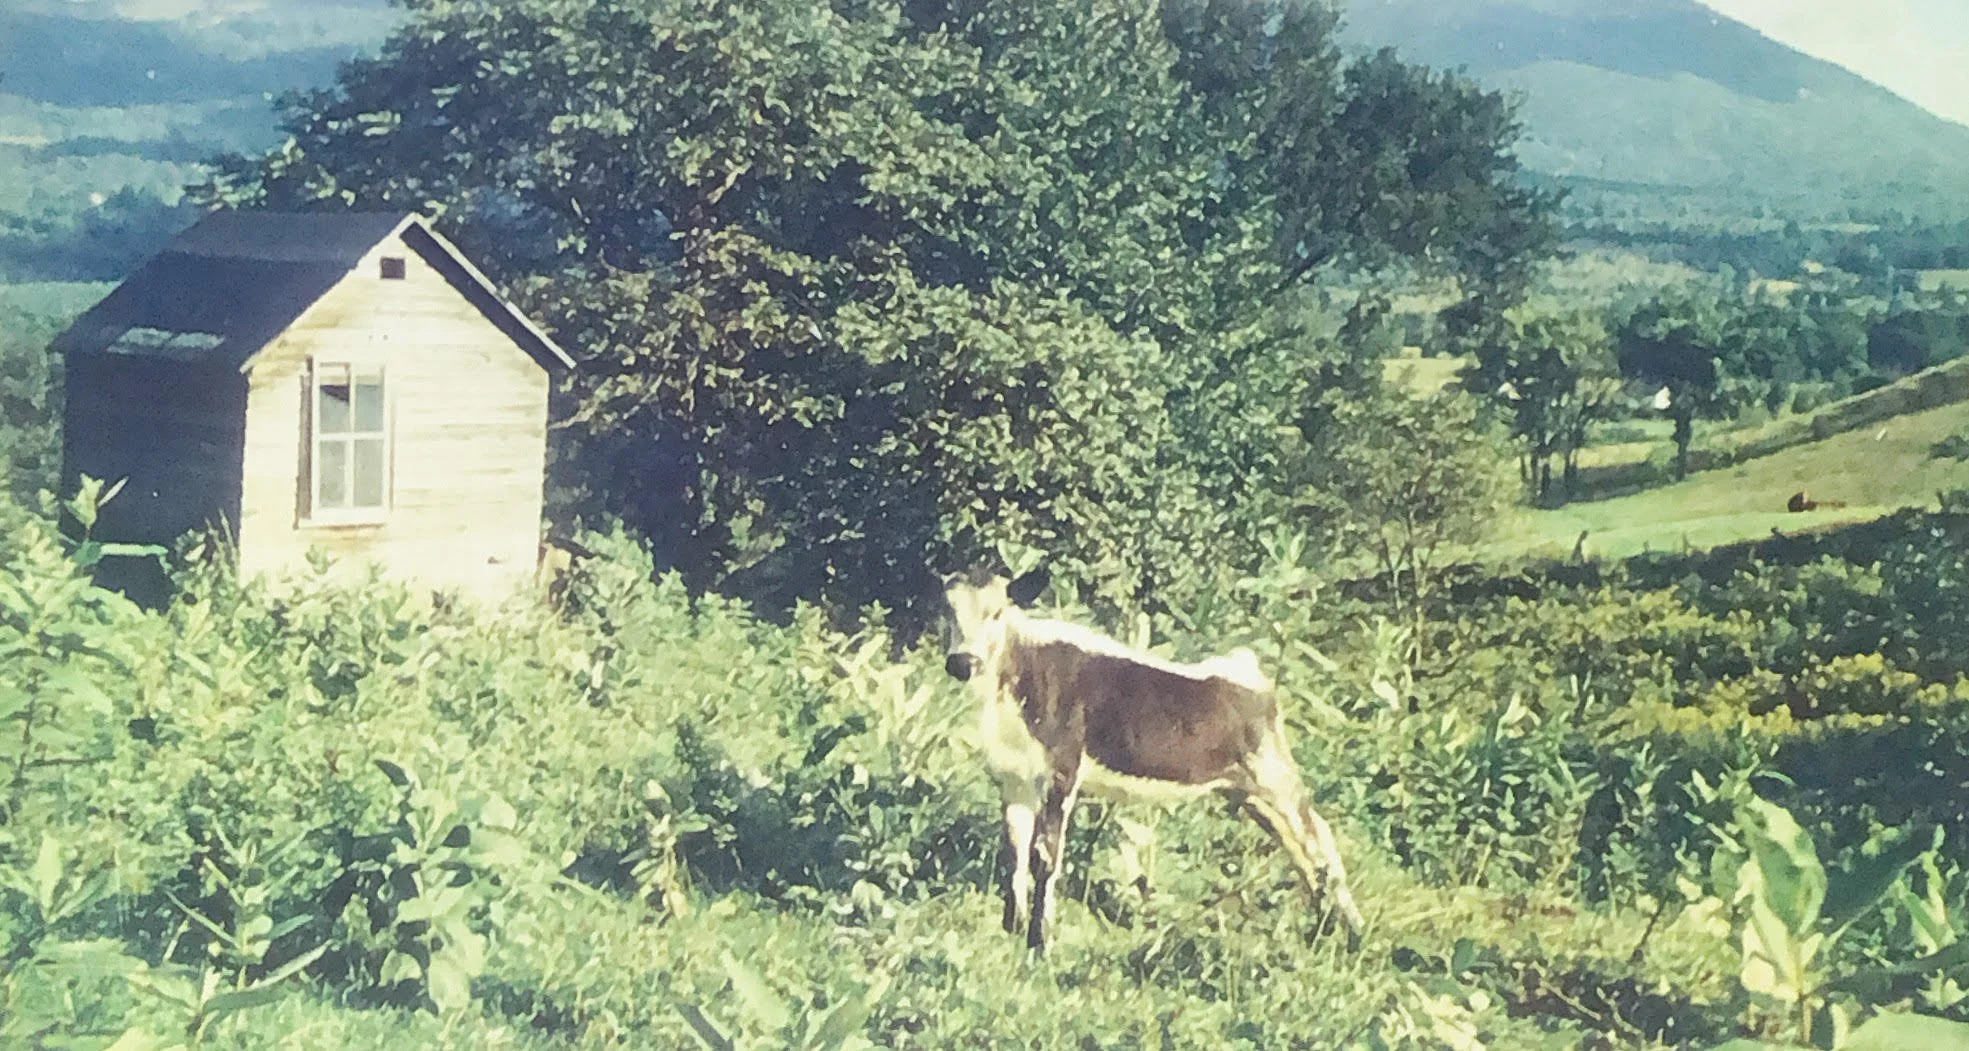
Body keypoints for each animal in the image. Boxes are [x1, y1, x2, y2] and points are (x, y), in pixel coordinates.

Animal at [940, 567, 1366, 954]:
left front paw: (1039, 944)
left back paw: (1353, 935)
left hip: (1273, 773)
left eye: (998, 612)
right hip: (1244, 789)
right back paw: (1323, 929)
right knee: (1295, 846)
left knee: (1320, 838)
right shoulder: (1013, 777)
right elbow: (1014, 850)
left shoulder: (1062, 770)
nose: (962, 663)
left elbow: (1045, 856)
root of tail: (1246, 670)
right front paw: (1012, 931)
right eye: (949, 611)